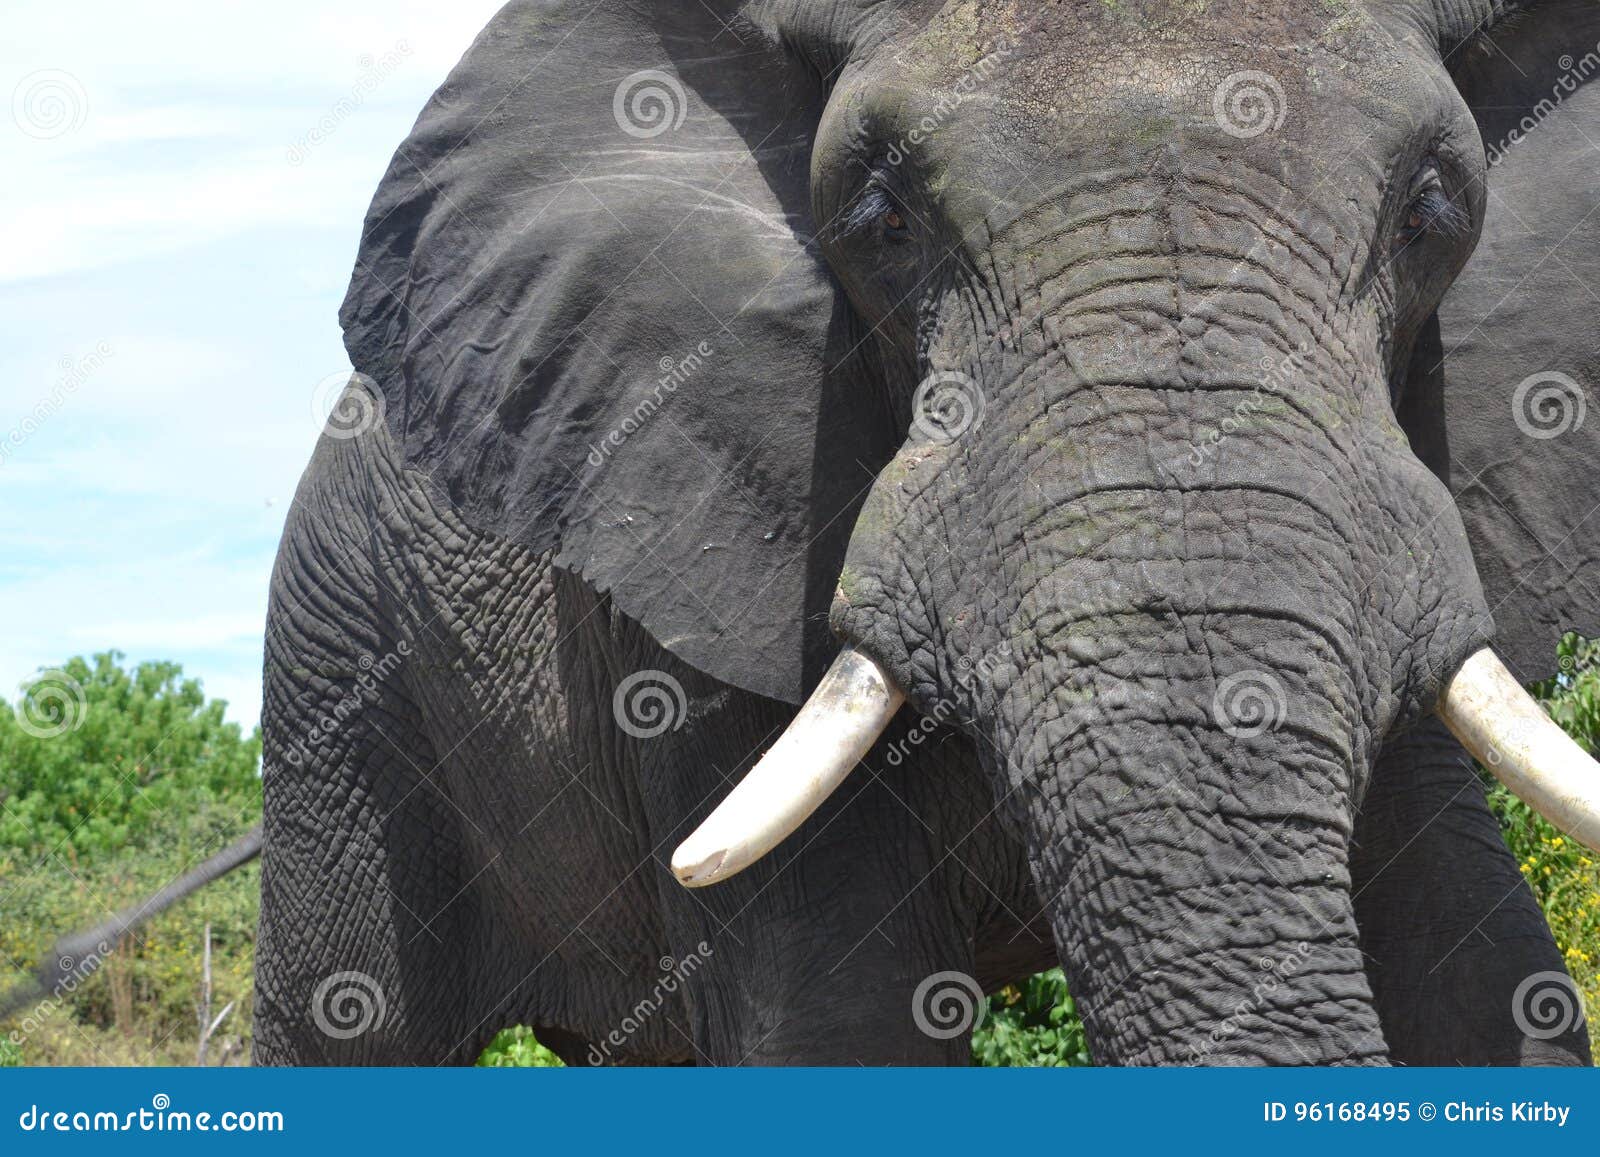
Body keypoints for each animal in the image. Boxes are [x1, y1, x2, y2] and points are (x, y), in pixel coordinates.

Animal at [251, 0, 1600, 1066]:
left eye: (1430, 212)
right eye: (878, 216)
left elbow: (1489, 980)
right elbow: (841, 1026)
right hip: (337, 662)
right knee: (348, 1019)